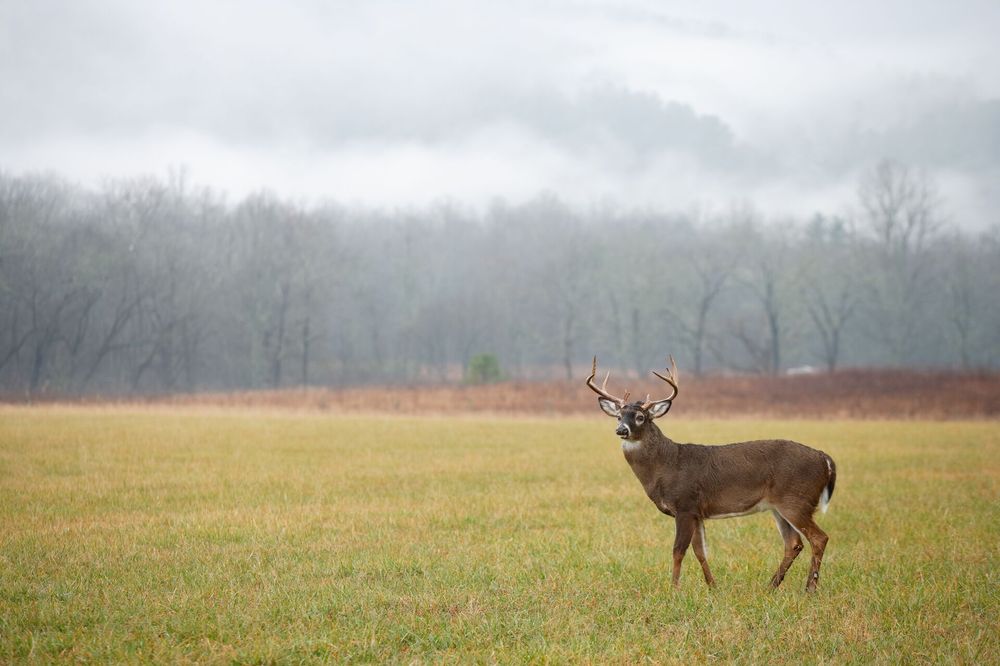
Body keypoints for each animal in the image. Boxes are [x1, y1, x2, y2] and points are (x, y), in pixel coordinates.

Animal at [587, 356, 836, 592]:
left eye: (640, 417)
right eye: (618, 416)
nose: (621, 430)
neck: (665, 466)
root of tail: (824, 459)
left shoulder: (685, 505)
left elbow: (678, 550)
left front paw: (674, 589)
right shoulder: (697, 512)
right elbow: (701, 551)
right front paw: (712, 586)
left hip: (796, 500)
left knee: (819, 538)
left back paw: (810, 588)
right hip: (779, 506)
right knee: (794, 543)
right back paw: (771, 586)